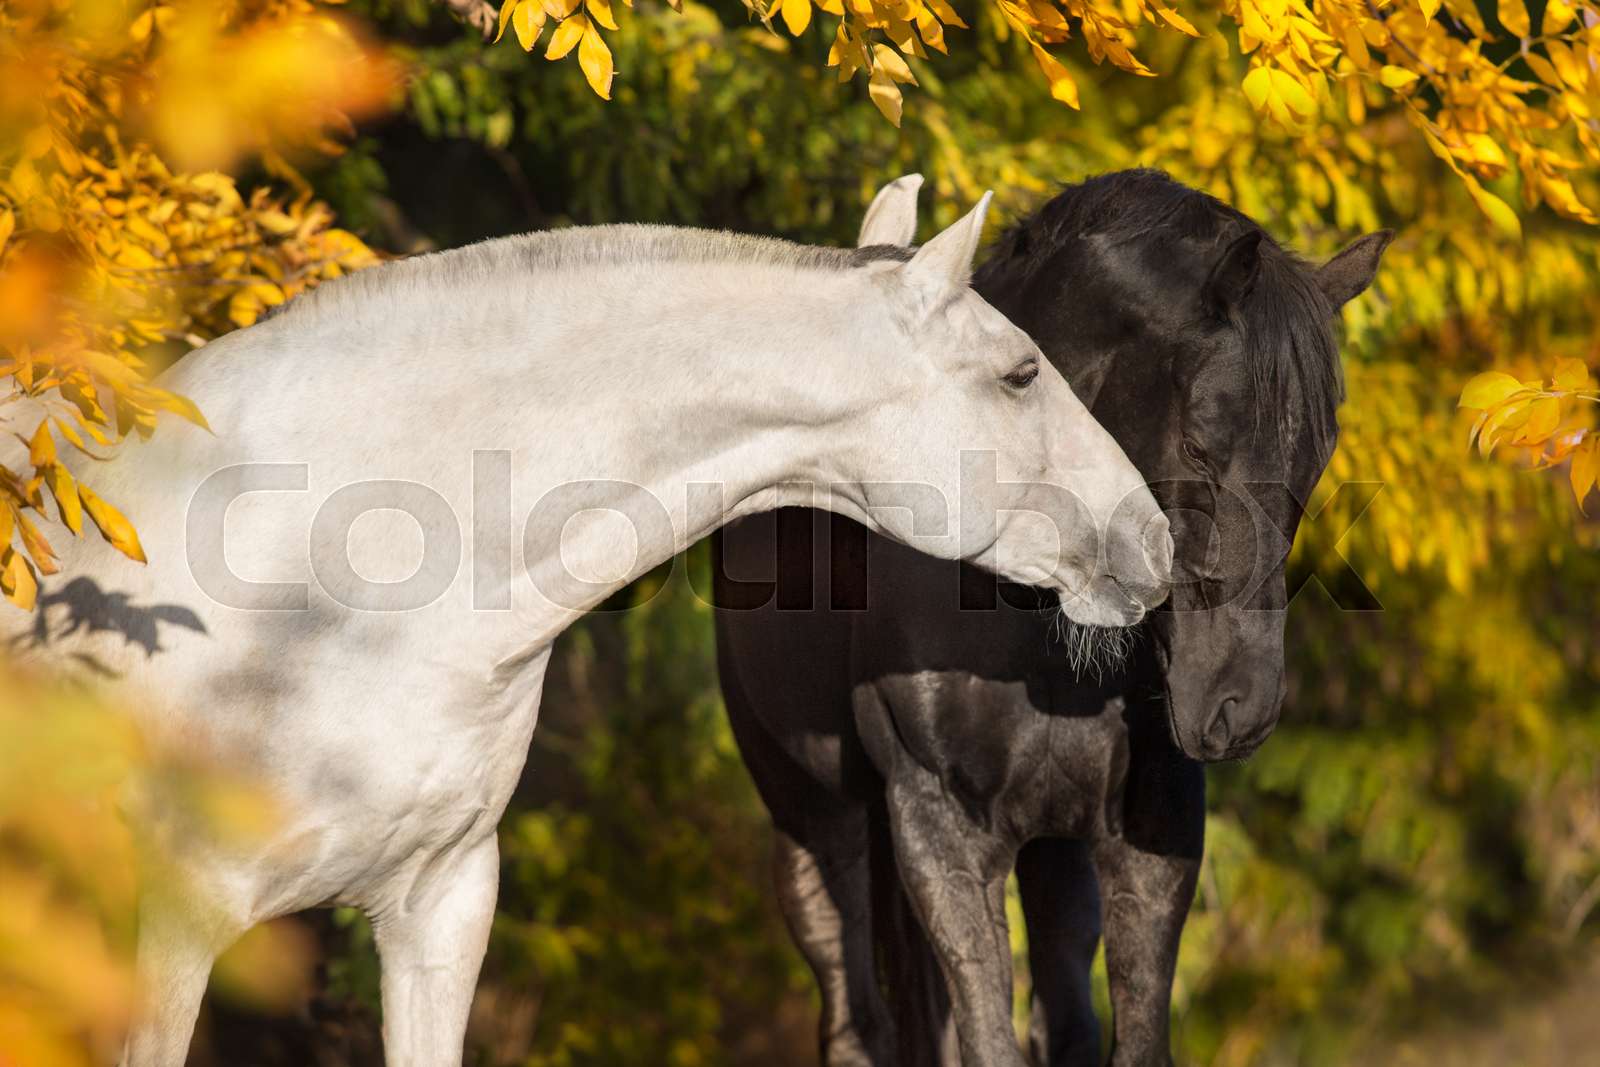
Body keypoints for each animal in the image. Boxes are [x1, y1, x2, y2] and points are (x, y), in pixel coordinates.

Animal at [712, 169, 1390, 1066]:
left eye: (1316, 456)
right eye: (1201, 446)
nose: (1237, 706)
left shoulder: (1150, 830)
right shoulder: (940, 834)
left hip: (1052, 852)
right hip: (813, 820)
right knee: (853, 1014)